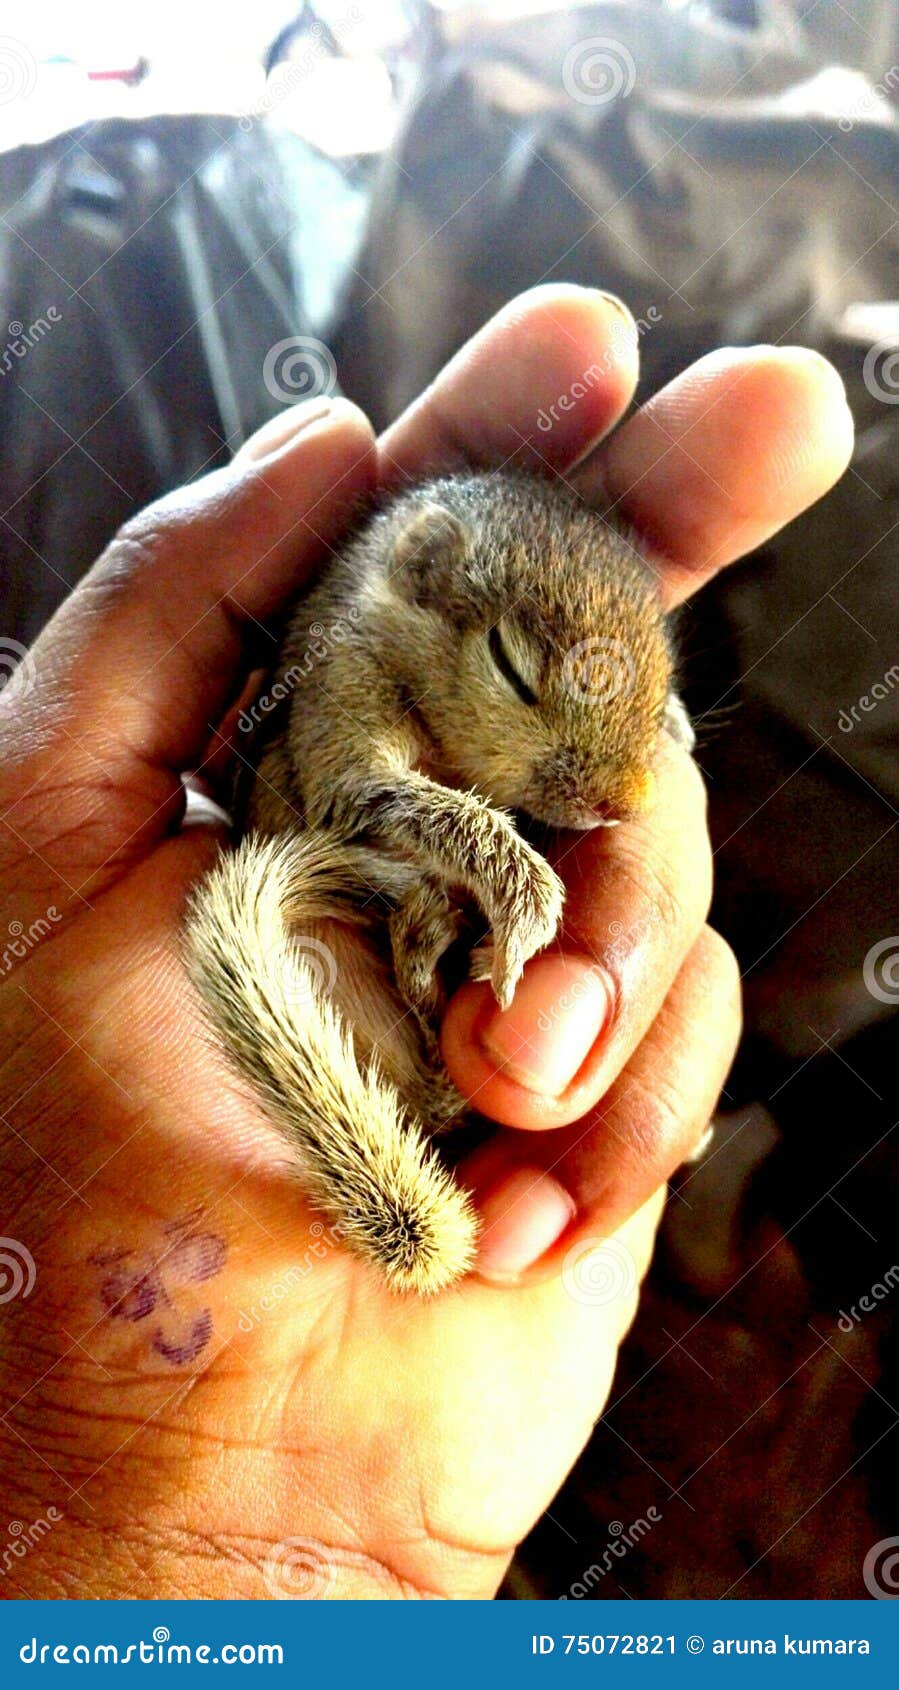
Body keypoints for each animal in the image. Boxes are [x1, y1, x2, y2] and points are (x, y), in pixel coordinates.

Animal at [183, 469, 695, 1295]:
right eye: (510, 669)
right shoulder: (341, 687)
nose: (624, 804)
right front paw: (522, 907)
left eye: (662, 670)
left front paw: (677, 726)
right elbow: (401, 801)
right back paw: (423, 947)